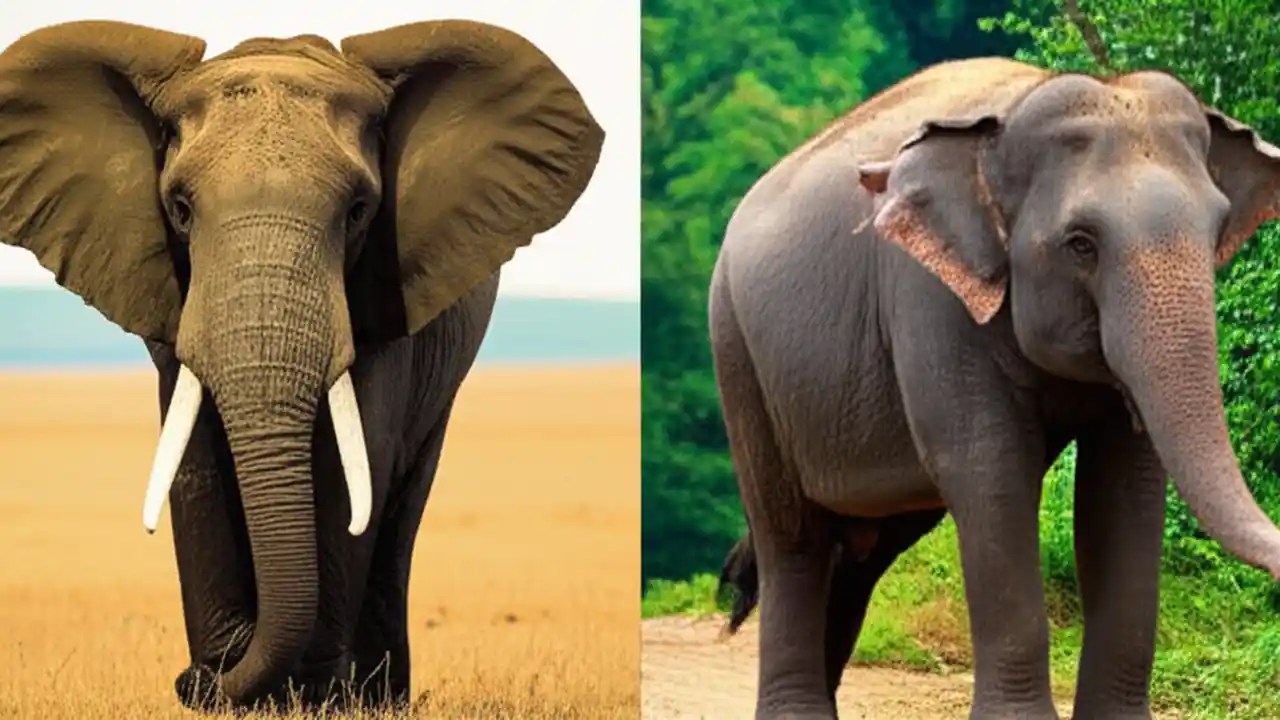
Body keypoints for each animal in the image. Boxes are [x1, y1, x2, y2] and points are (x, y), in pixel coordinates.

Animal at [0, 19, 602, 710]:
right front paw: (231, 685)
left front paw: (313, 697)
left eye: (359, 211)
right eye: (179, 209)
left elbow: (351, 466)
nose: (190, 681)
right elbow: (194, 461)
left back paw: (378, 696)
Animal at [711, 56, 1280, 719]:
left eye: (1217, 227)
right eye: (1080, 243)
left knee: (862, 551)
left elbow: (1125, 483)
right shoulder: (930, 298)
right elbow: (989, 467)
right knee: (793, 541)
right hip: (739, 357)